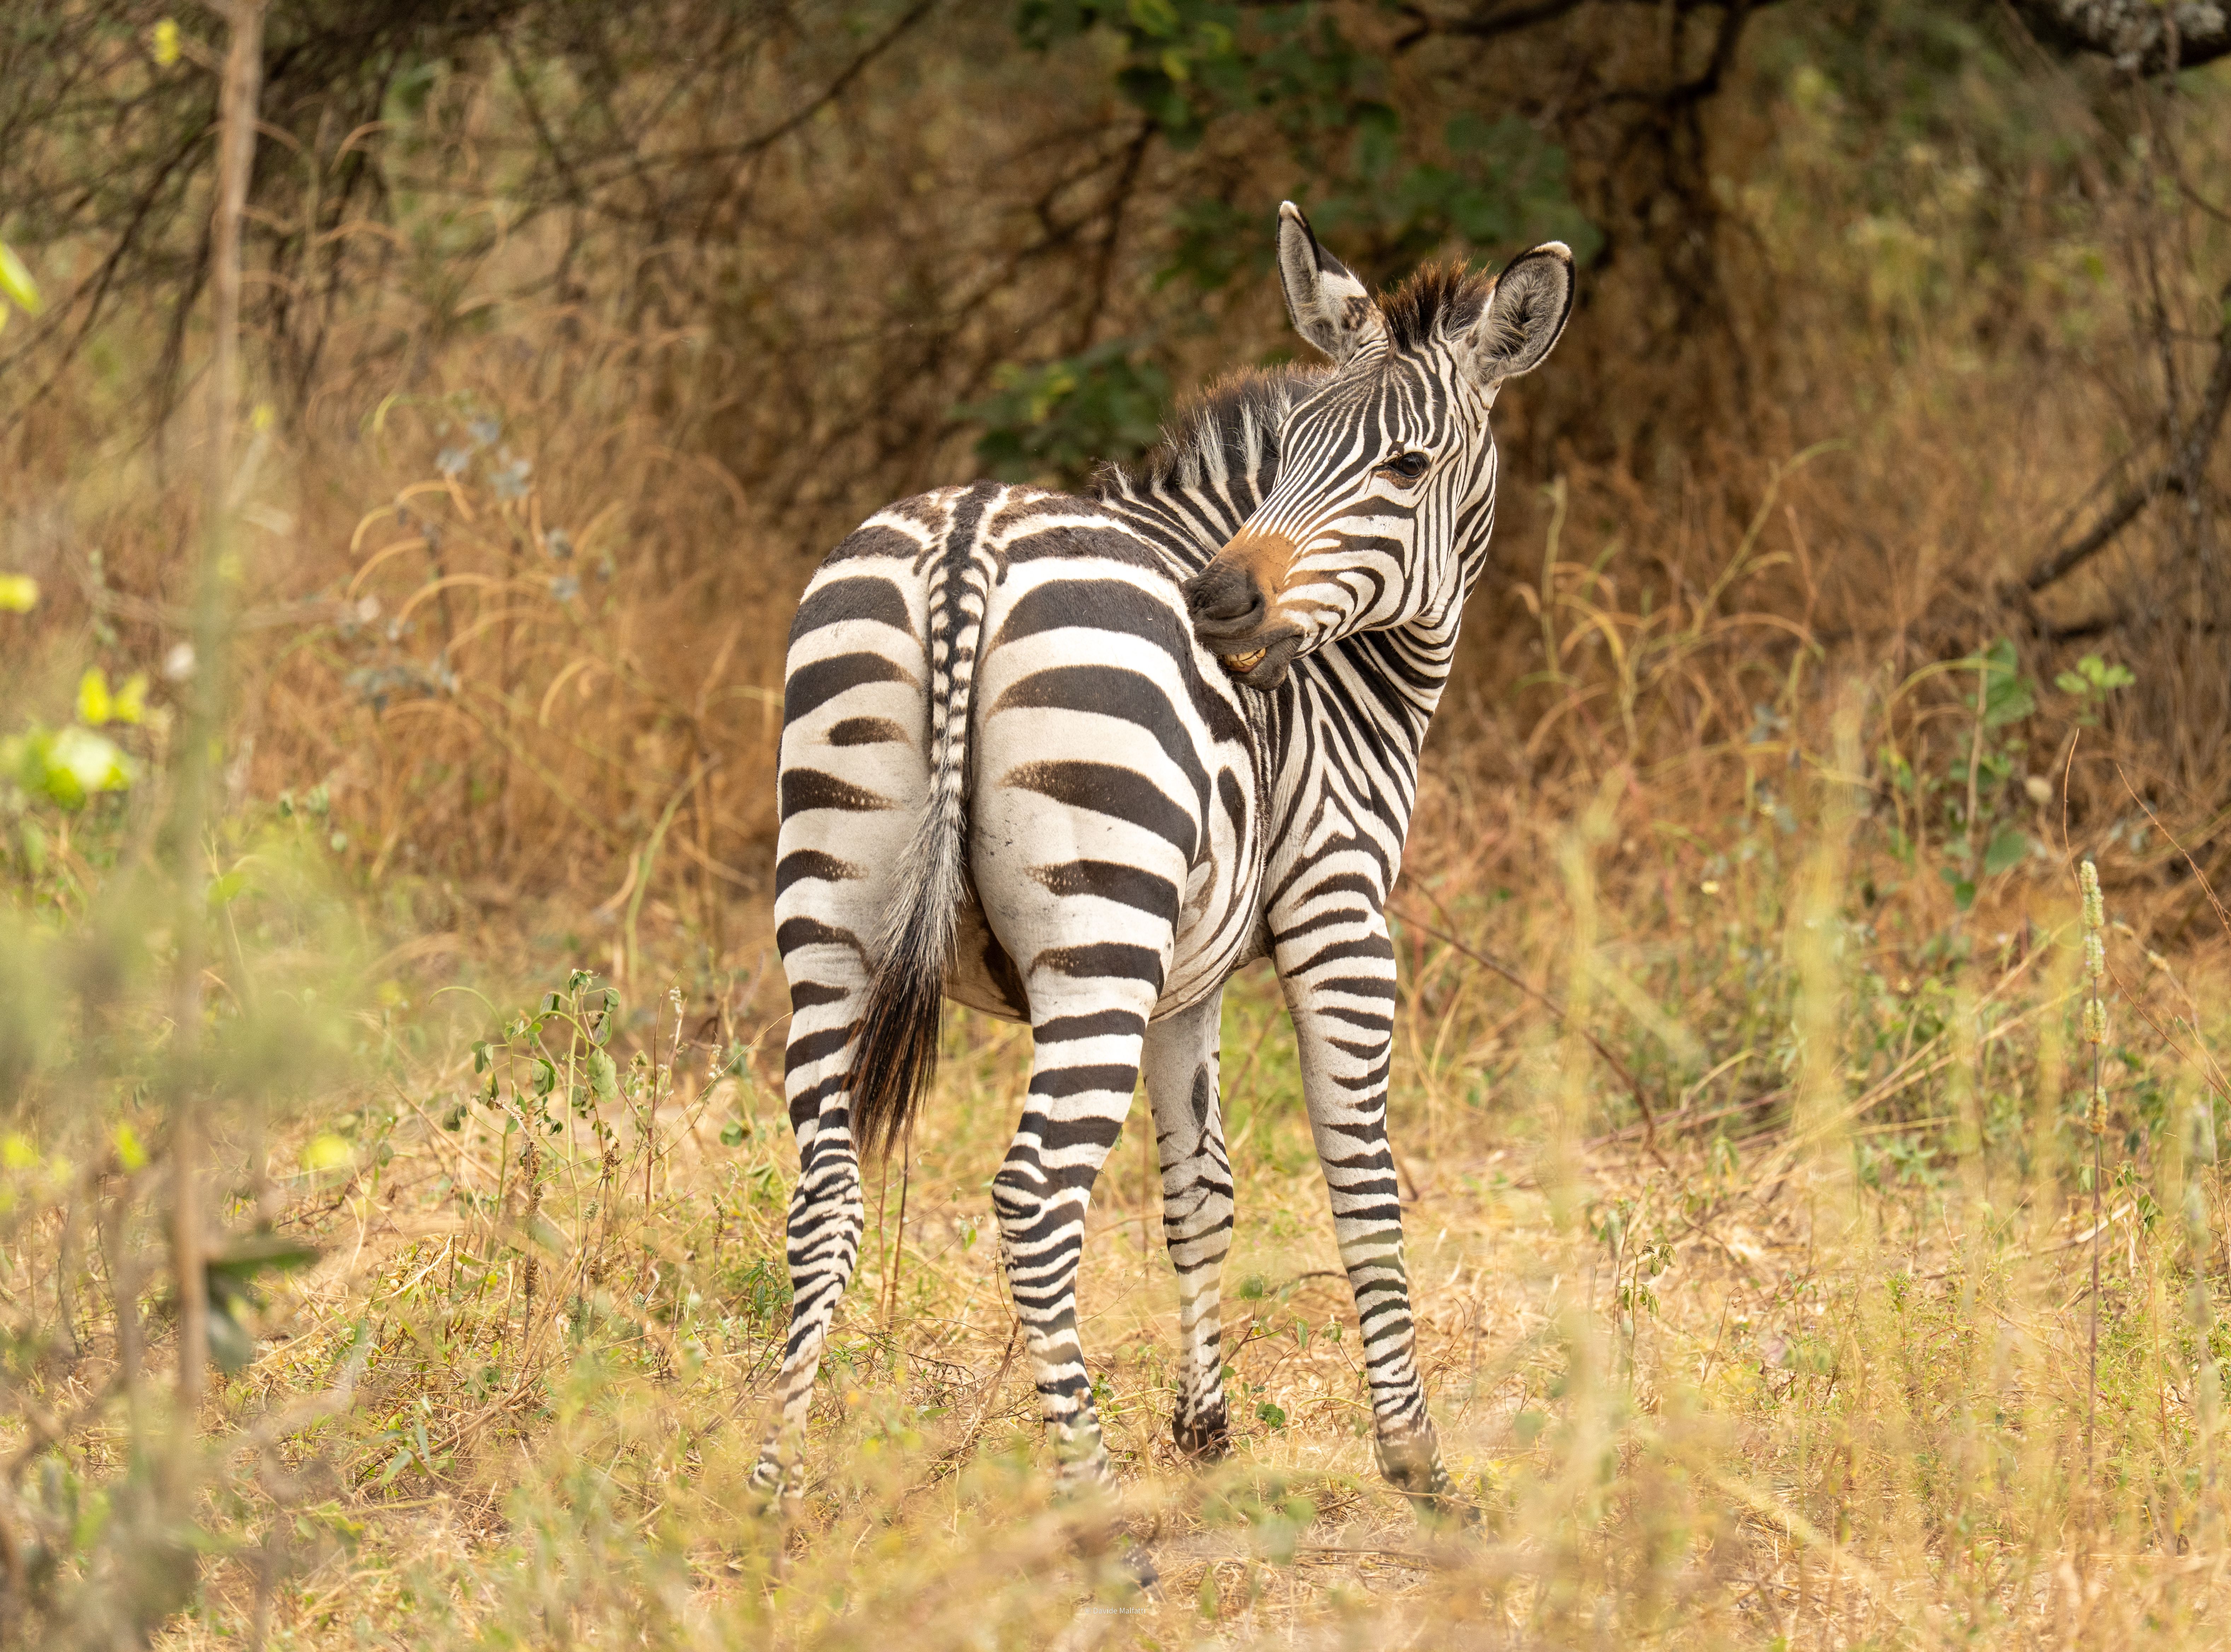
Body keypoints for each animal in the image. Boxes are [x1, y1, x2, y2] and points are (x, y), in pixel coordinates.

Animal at [754, 202, 1573, 1511]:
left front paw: (1203, 1429)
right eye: (1288, 455)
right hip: (1098, 937)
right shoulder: (1340, 916)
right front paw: (1413, 1457)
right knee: (1034, 1202)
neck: (1340, 682)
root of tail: (966, 536)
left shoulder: (1188, 982)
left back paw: (775, 1486)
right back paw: (1092, 1508)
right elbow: (1363, 1182)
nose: (1219, 601)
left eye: (1402, 467)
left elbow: (1201, 1189)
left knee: (825, 1188)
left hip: (836, 913)